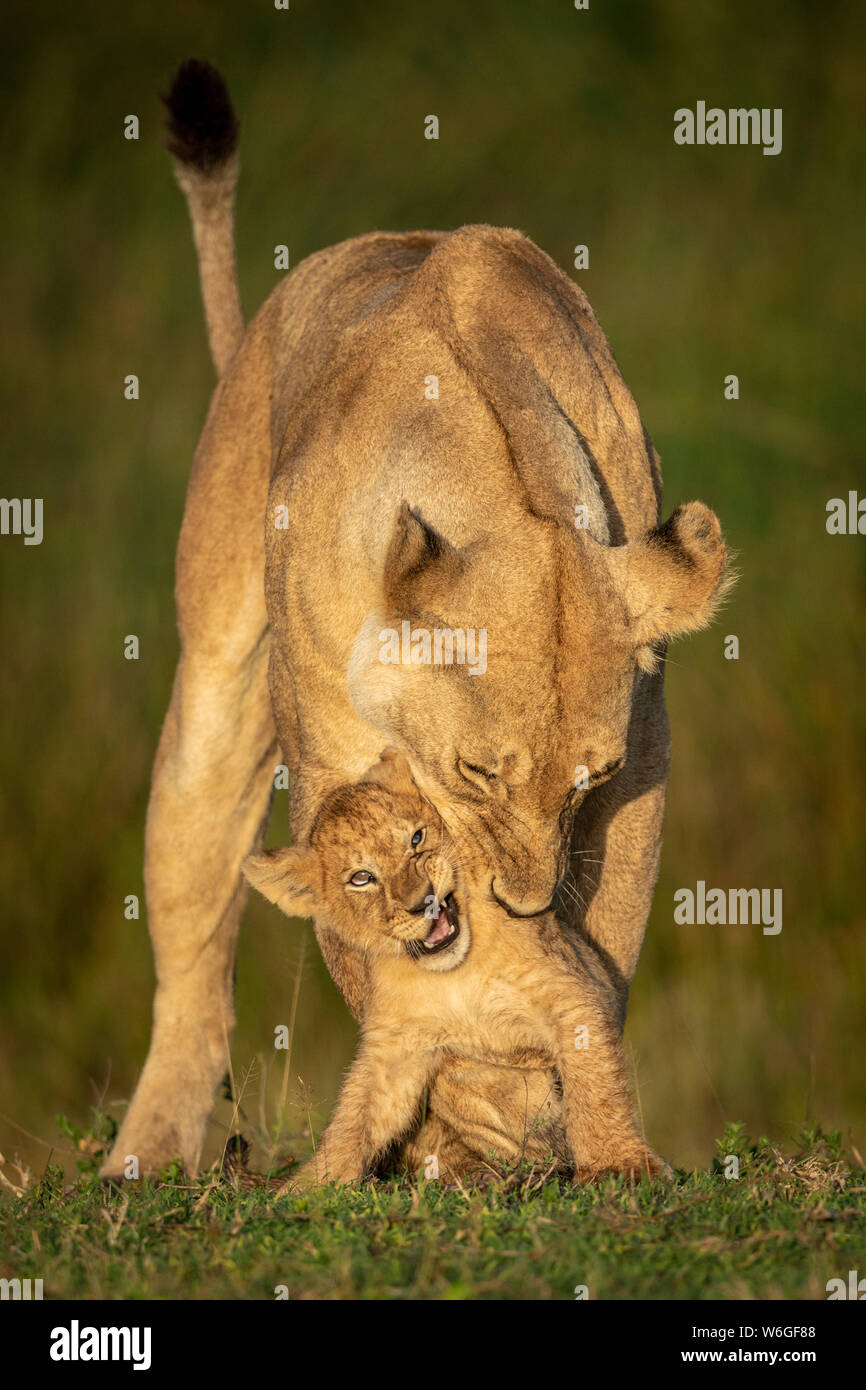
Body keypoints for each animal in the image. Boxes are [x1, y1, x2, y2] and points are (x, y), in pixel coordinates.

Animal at [244, 750, 666, 1185]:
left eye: (416, 839)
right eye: (361, 878)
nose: (421, 901)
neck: (455, 975)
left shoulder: (570, 993)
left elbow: (594, 1087)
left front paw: (620, 1164)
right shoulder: (395, 1048)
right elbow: (355, 1119)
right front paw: (308, 1185)